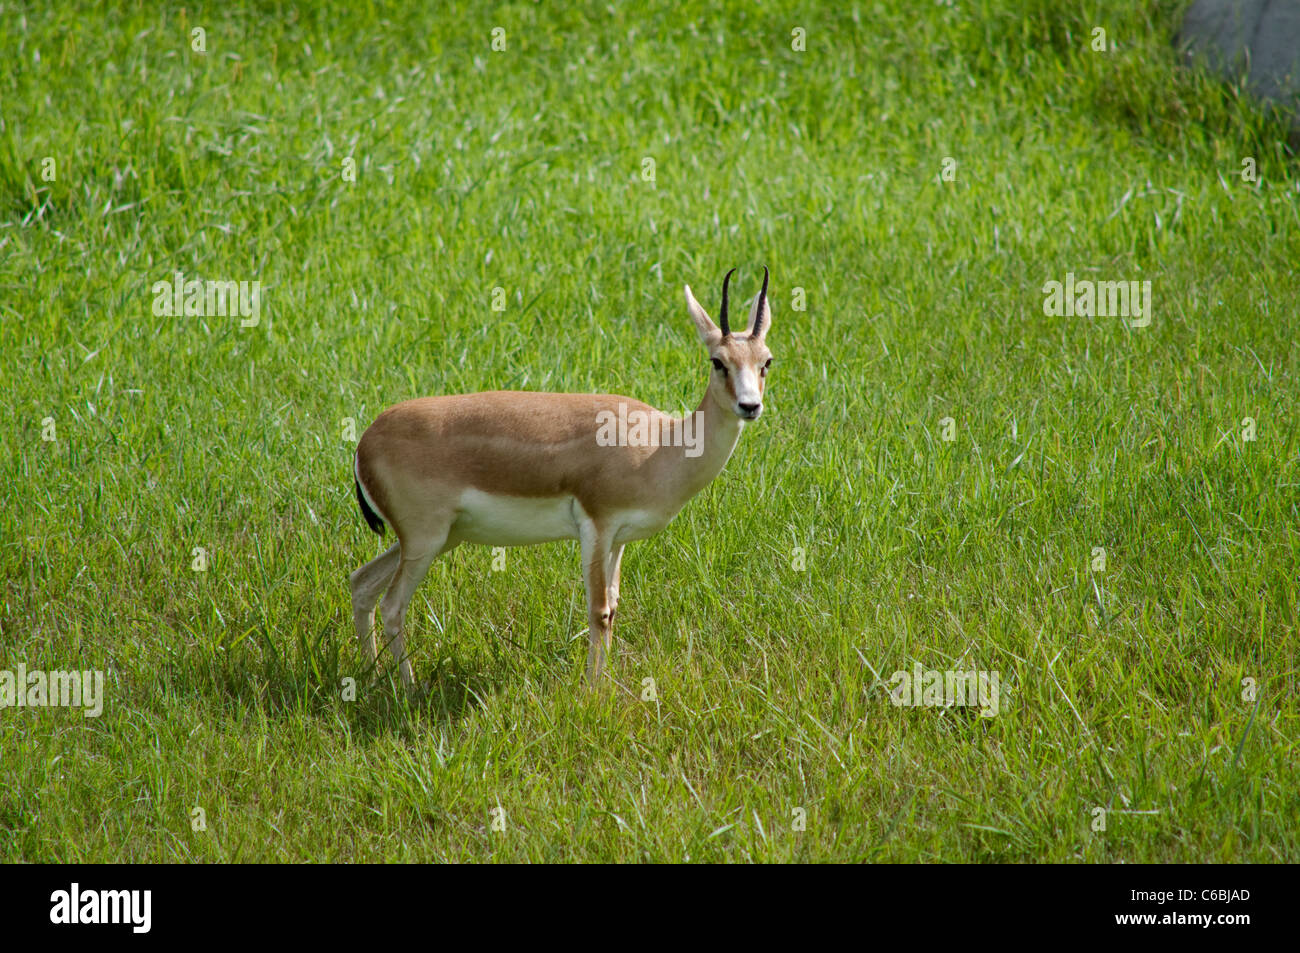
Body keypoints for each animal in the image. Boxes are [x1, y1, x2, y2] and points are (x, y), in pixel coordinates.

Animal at [349, 267, 774, 687]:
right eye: (717, 361)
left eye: (766, 361)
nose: (749, 406)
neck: (661, 443)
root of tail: (365, 441)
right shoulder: (596, 528)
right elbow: (599, 611)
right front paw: (592, 692)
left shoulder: (619, 539)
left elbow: (614, 607)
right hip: (426, 540)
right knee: (392, 605)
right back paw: (408, 688)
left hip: (437, 539)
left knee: (361, 584)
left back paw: (372, 675)